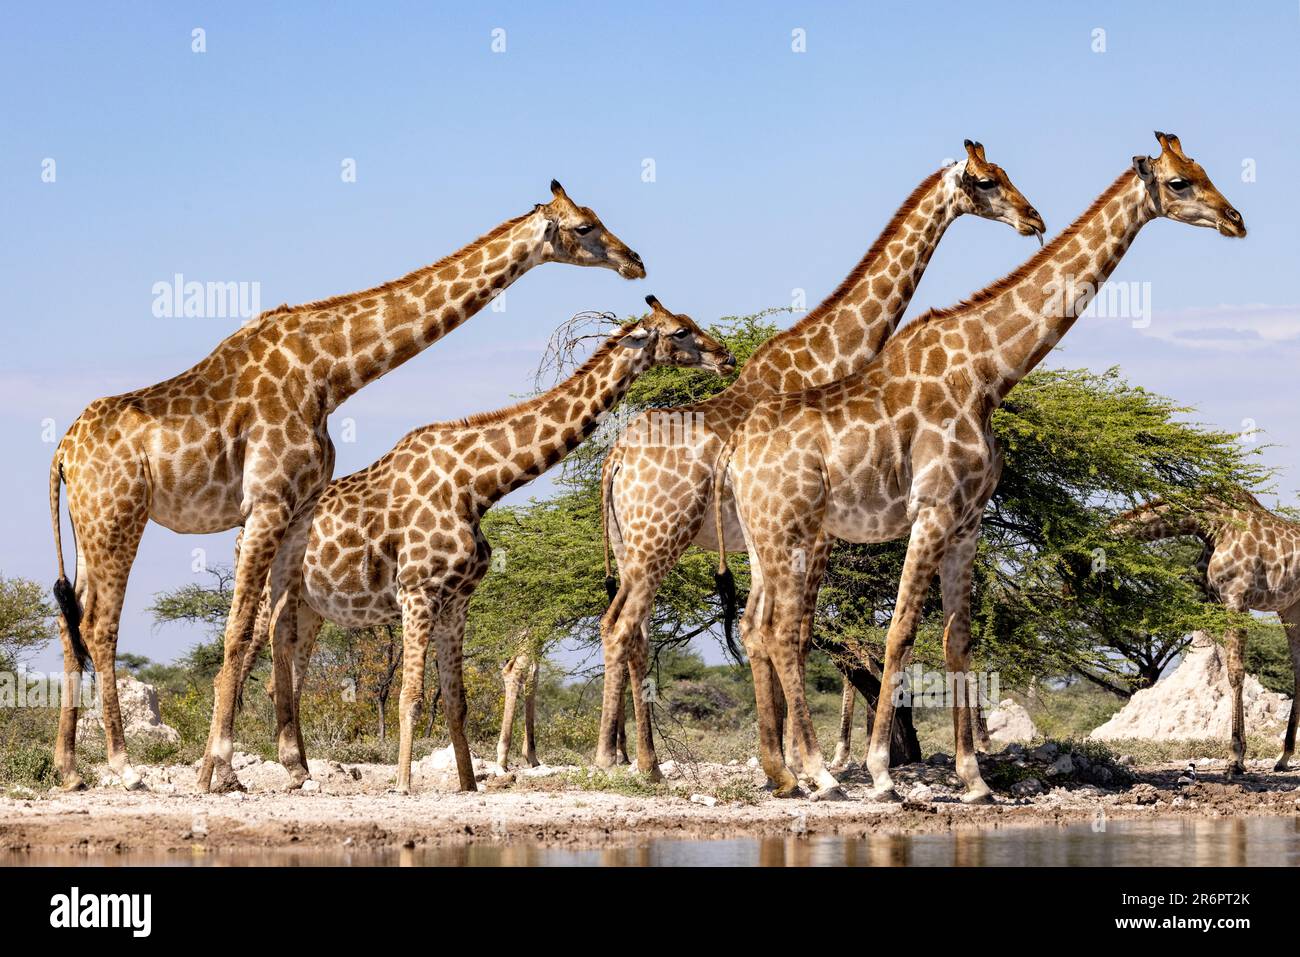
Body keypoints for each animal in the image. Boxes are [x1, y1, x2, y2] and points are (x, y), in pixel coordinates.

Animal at [47, 180, 645, 793]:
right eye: (583, 227)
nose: (635, 262)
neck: (329, 372)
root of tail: (63, 452)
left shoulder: (299, 506)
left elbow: (280, 633)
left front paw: (288, 766)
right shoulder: (266, 502)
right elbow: (239, 634)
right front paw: (219, 769)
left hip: (90, 524)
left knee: (72, 622)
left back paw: (68, 767)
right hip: (119, 514)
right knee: (99, 626)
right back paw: (122, 766)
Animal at [237, 297, 733, 792]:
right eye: (679, 331)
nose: (724, 356)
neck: (476, 484)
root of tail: (244, 528)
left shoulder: (458, 599)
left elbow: (456, 700)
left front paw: (468, 784)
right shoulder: (417, 591)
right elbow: (411, 695)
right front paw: (403, 784)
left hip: (310, 606)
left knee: (287, 679)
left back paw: (300, 770)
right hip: (267, 595)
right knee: (243, 658)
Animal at [598, 141, 1044, 777]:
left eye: (1006, 174)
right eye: (986, 181)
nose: (1034, 219)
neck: (833, 357)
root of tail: (614, 459)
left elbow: (779, 632)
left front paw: (788, 758)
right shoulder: (822, 530)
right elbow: (797, 631)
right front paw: (800, 760)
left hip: (632, 545)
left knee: (626, 630)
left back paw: (634, 756)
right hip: (658, 540)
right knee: (623, 629)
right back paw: (627, 761)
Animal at [714, 133, 1246, 801]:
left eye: (1203, 169)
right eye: (1179, 182)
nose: (1237, 220)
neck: (990, 373)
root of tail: (736, 451)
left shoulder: (968, 524)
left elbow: (958, 639)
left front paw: (974, 778)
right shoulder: (932, 512)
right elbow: (899, 634)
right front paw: (883, 774)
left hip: (767, 538)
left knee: (761, 629)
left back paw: (786, 773)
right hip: (792, 534)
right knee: (786, 631)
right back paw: (821, 775)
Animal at [1114, 492, 1300, 774]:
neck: (1212, 524)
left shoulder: (1237, 599)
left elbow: (1235, 672)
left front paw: (1235, 758)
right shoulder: (1215, 600)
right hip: (1290, 607)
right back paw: (1284, 756)